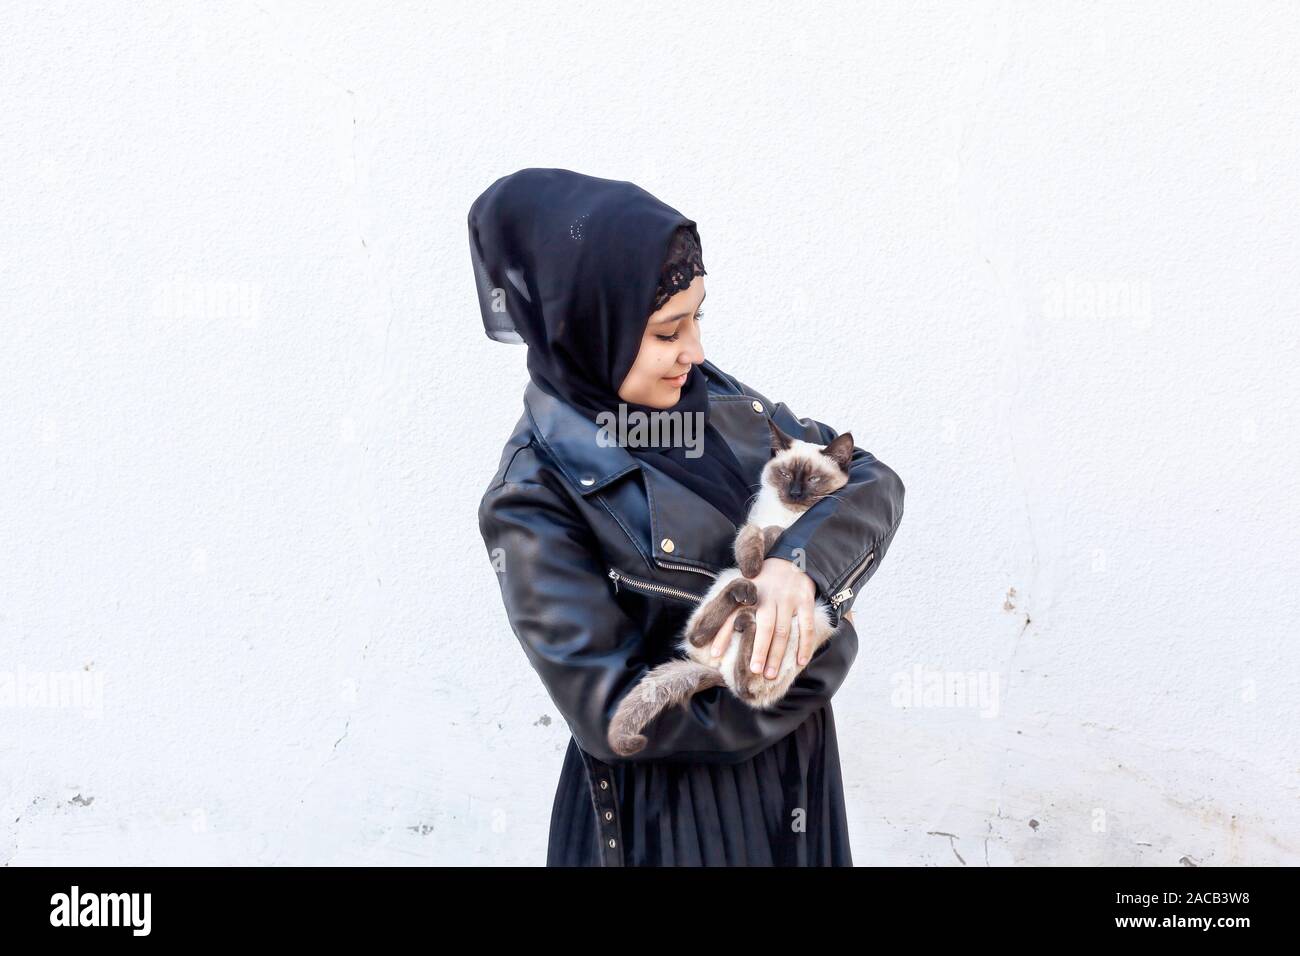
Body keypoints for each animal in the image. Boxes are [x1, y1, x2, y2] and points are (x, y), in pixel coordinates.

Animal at [611, 418, 857, 754]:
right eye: (785, 475)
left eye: (813, 479)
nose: (794, 493)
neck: (788, 515)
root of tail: (717, 671)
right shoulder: (752, 526)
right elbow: (754, 535)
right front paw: (755, 561)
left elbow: (777, 532)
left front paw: (773, 541)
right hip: (727, 579)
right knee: (700, 637)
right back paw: (745, 597)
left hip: (810, 622)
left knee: (746, 688)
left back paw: (745, 619)